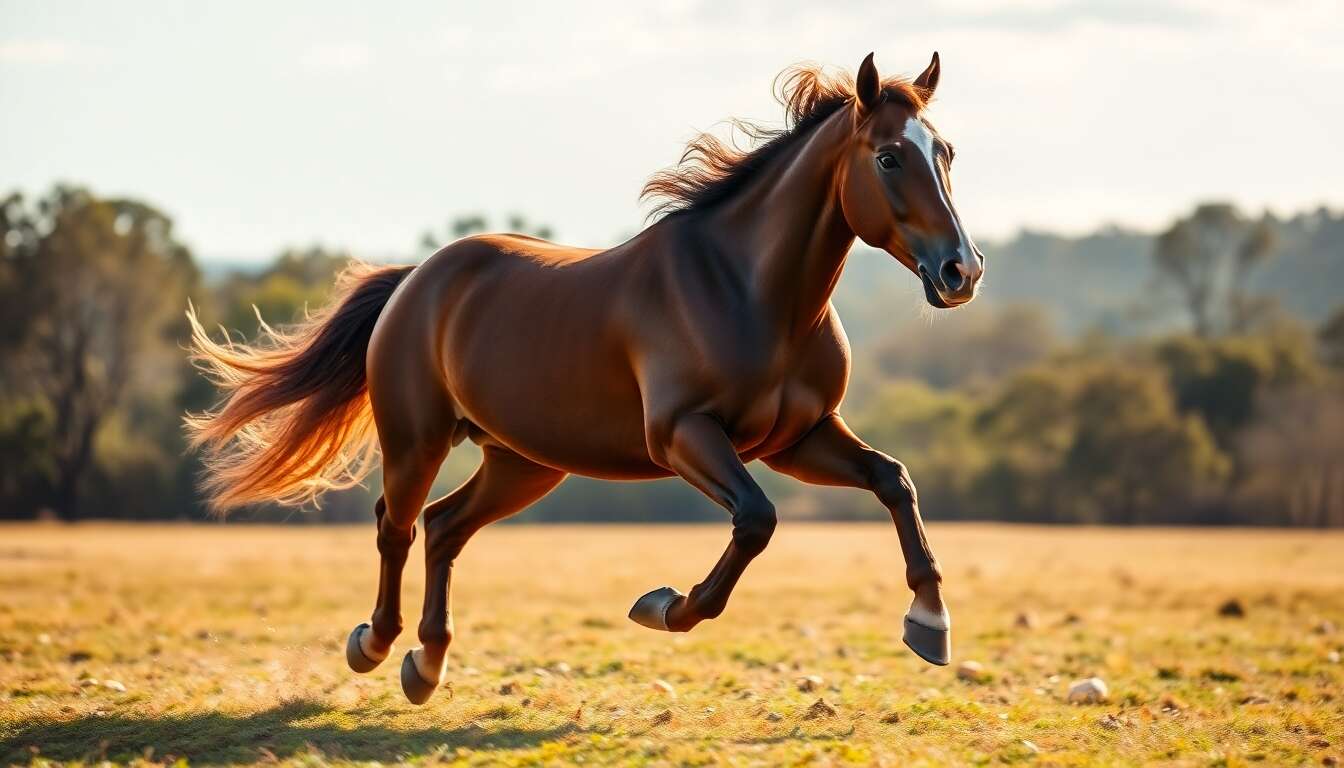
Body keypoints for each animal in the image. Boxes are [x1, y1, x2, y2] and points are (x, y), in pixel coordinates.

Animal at [186, 51, 984, 705]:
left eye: (945, 151)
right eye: (889, 157)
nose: (961, 271)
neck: (750, 289)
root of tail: (418, 278)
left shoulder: (798, 438)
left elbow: (893, 480)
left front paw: (930, 621)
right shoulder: (684, 436)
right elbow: (757, 520)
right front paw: (663, 606)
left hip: (524, 462)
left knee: (444, 528)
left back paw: (426, 665)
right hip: (417, 440)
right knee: (398, 525)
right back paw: (374, 645)